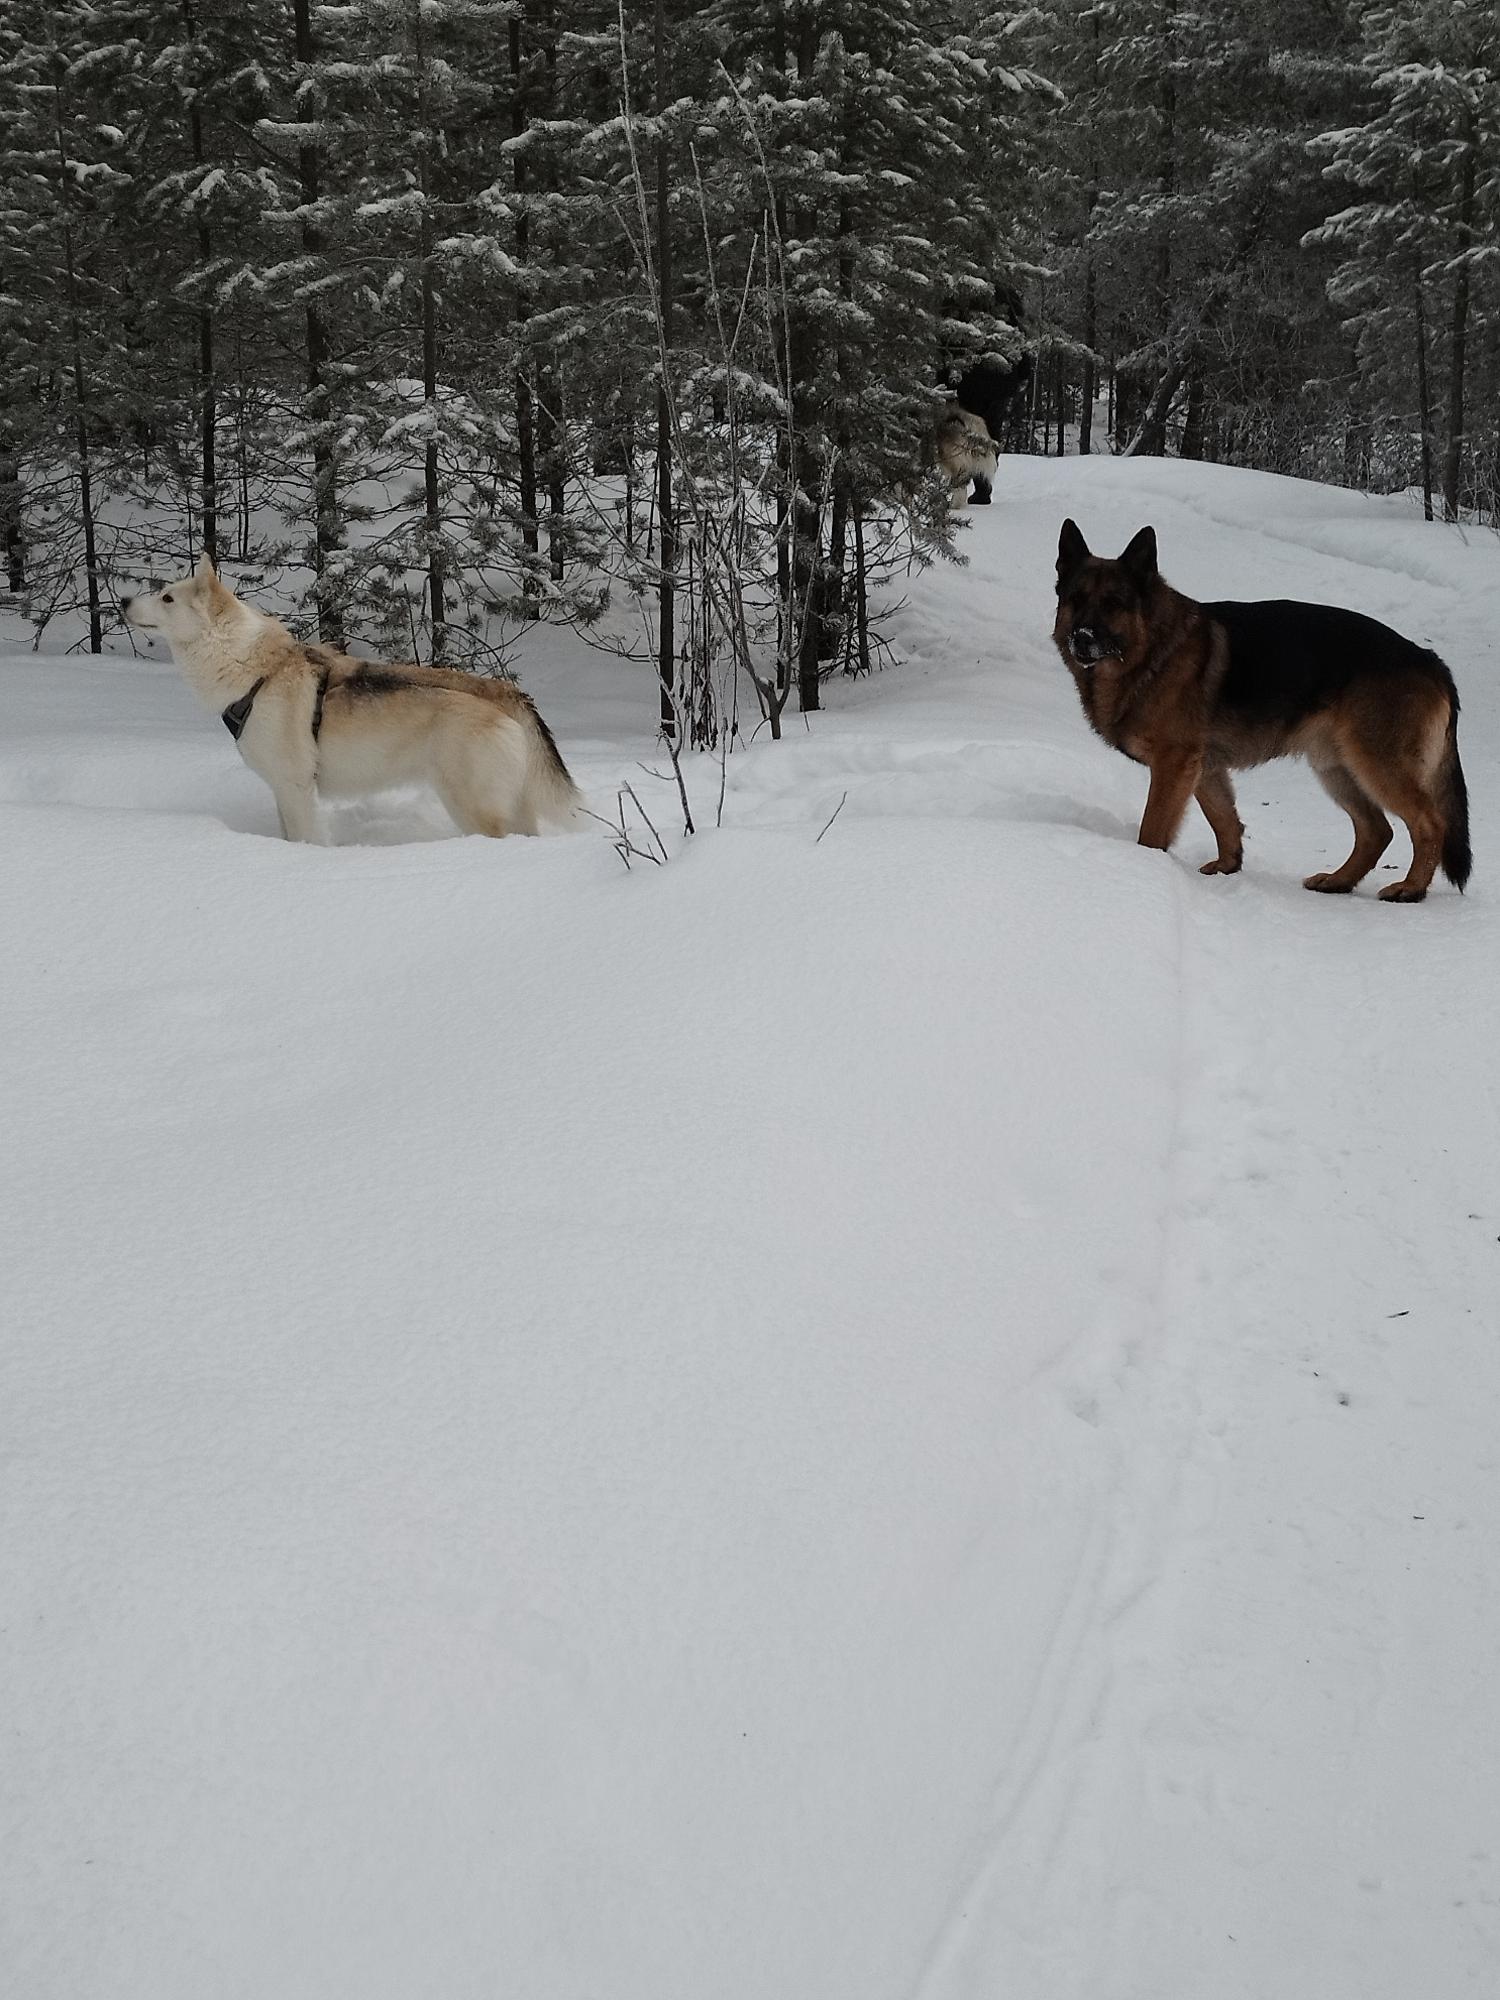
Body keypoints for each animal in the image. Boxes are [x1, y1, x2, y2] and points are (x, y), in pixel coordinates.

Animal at [122, 560, 580, 840]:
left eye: (167, 597)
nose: (124, 600)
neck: (256, 669)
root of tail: (505, 691)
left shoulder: (295, 787)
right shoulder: (282, 790)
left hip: (471, 804)